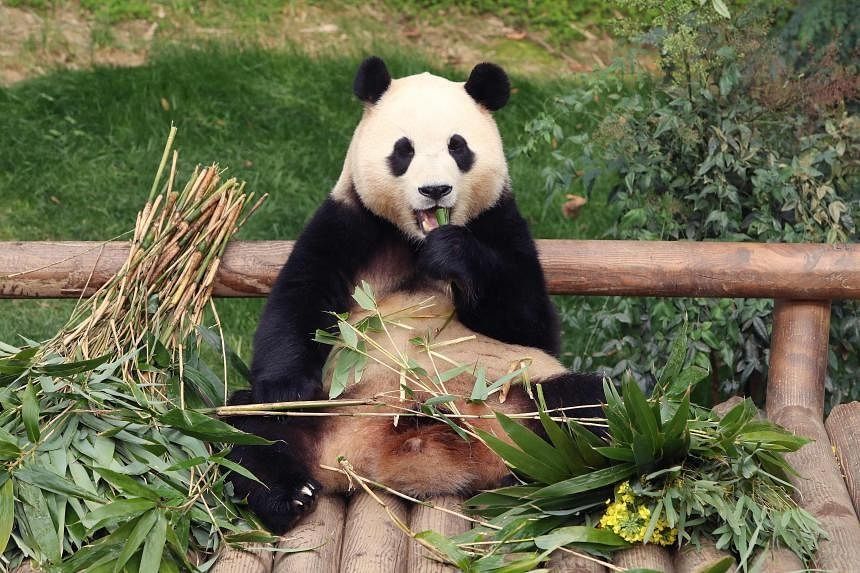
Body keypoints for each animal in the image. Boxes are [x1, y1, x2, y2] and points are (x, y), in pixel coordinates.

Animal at [226, 56, 605, 534]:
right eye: (402, 150)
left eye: (458, 147)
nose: (435, 190)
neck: (415, 239)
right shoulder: (350, 220)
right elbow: (299, 299)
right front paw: (289, 387)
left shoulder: (501, 220)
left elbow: (531, 325)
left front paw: (452, 252)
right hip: (333, 408)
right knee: (248, 421)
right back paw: (287, 495)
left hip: (515, 400)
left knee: (591, 401)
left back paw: (572, 484)